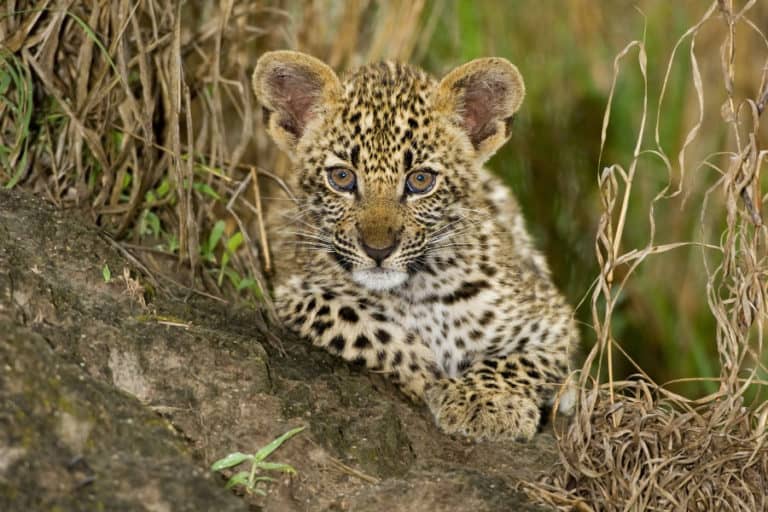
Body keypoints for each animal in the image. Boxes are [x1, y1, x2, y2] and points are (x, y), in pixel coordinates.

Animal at [252, 50, 578, 441]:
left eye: (420, 180)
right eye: (342, 177)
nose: (378, 250)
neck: (417, 290)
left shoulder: (553, 320)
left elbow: (518, 360)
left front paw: (487, 402)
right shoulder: (295, 292)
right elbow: (360, 324)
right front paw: (428, 373)